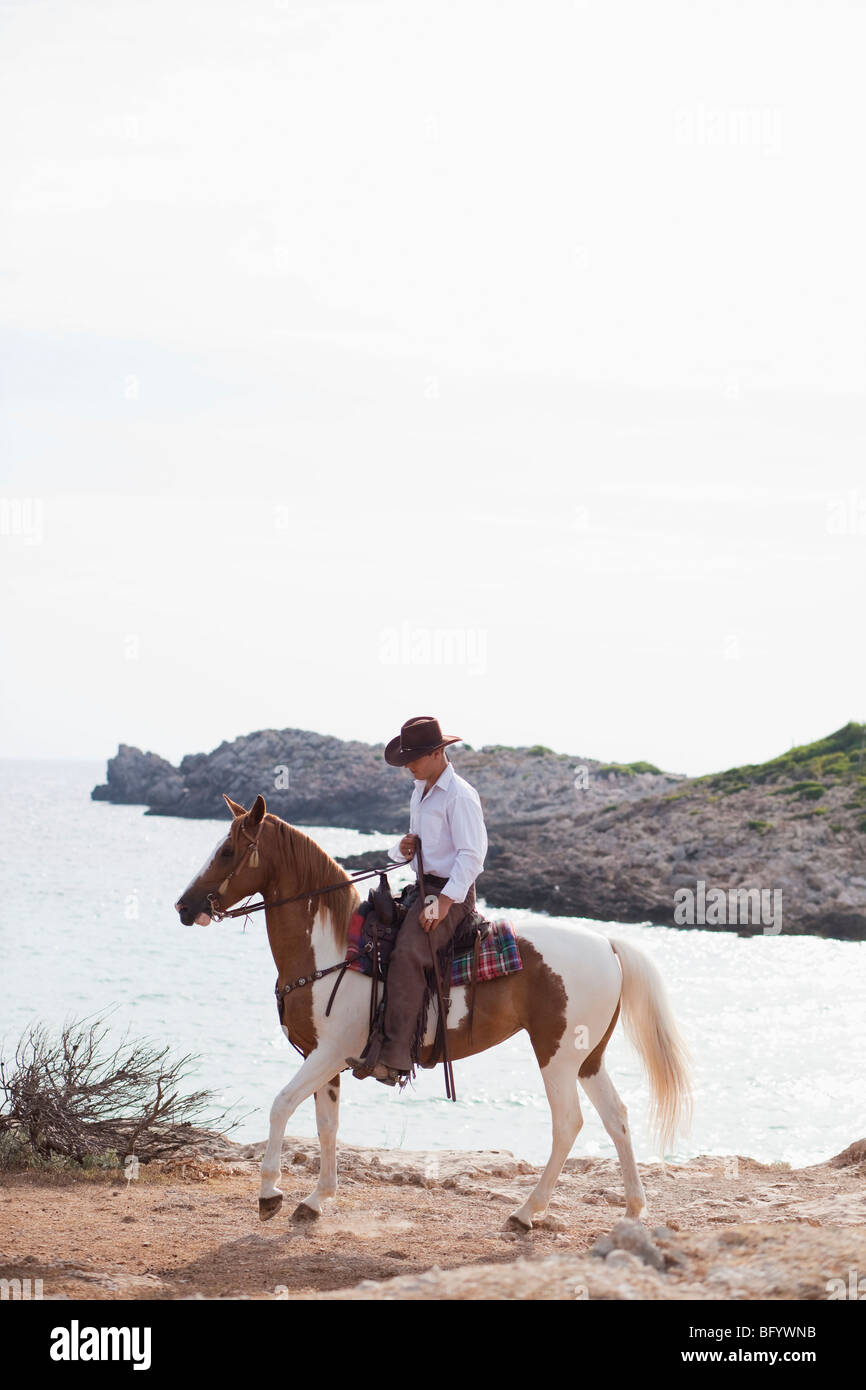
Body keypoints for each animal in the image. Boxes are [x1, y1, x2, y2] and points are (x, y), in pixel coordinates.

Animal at [174, 793, 692, 1230]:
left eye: (227, 851)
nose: (183, 906)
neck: (332, 949)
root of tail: (608, 944)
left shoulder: (329, 1053)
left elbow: (282, 1104)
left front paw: (270, 1193)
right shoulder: (322, 1057)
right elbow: (327, 1124)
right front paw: (317, 1199)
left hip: (557, 1057)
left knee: (568, 1124)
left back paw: (526, 1212)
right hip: (588, 1059)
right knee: (617, 1117)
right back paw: (632, 1210)